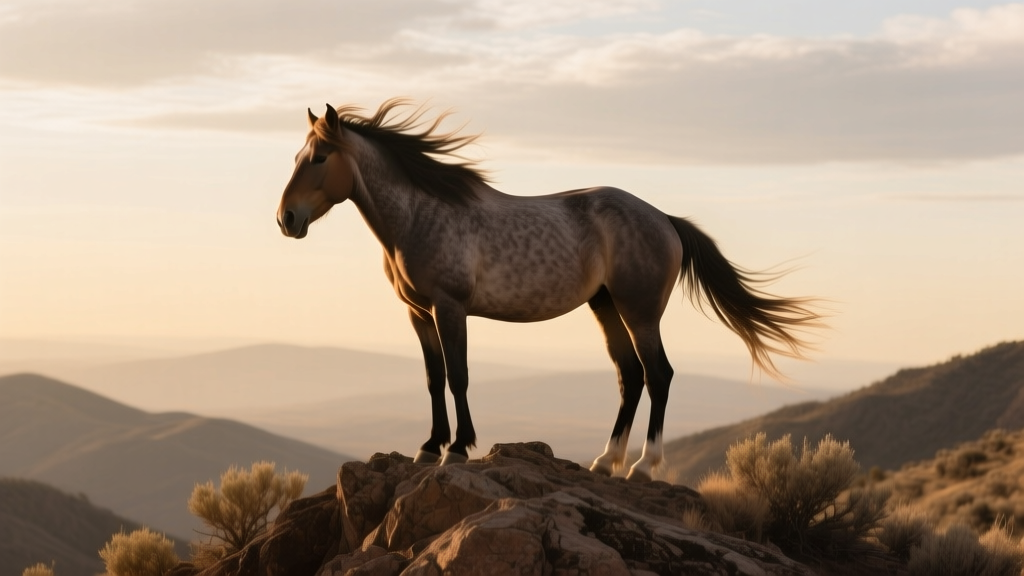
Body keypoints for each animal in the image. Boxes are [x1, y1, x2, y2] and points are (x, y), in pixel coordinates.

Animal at [276, 99, 821, 481]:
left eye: (320, 157)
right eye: (298, 156)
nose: (287, 219)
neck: (420, 215)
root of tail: (665, 219)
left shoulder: (450, 308)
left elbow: (459, 377)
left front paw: (457, 449)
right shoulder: (417, 313)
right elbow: (433, 379)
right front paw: (429, 447)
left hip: (640, 311)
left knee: (658, 374)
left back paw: (643, 466)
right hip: (605, 306)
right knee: (630, 376)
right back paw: (605, 460)